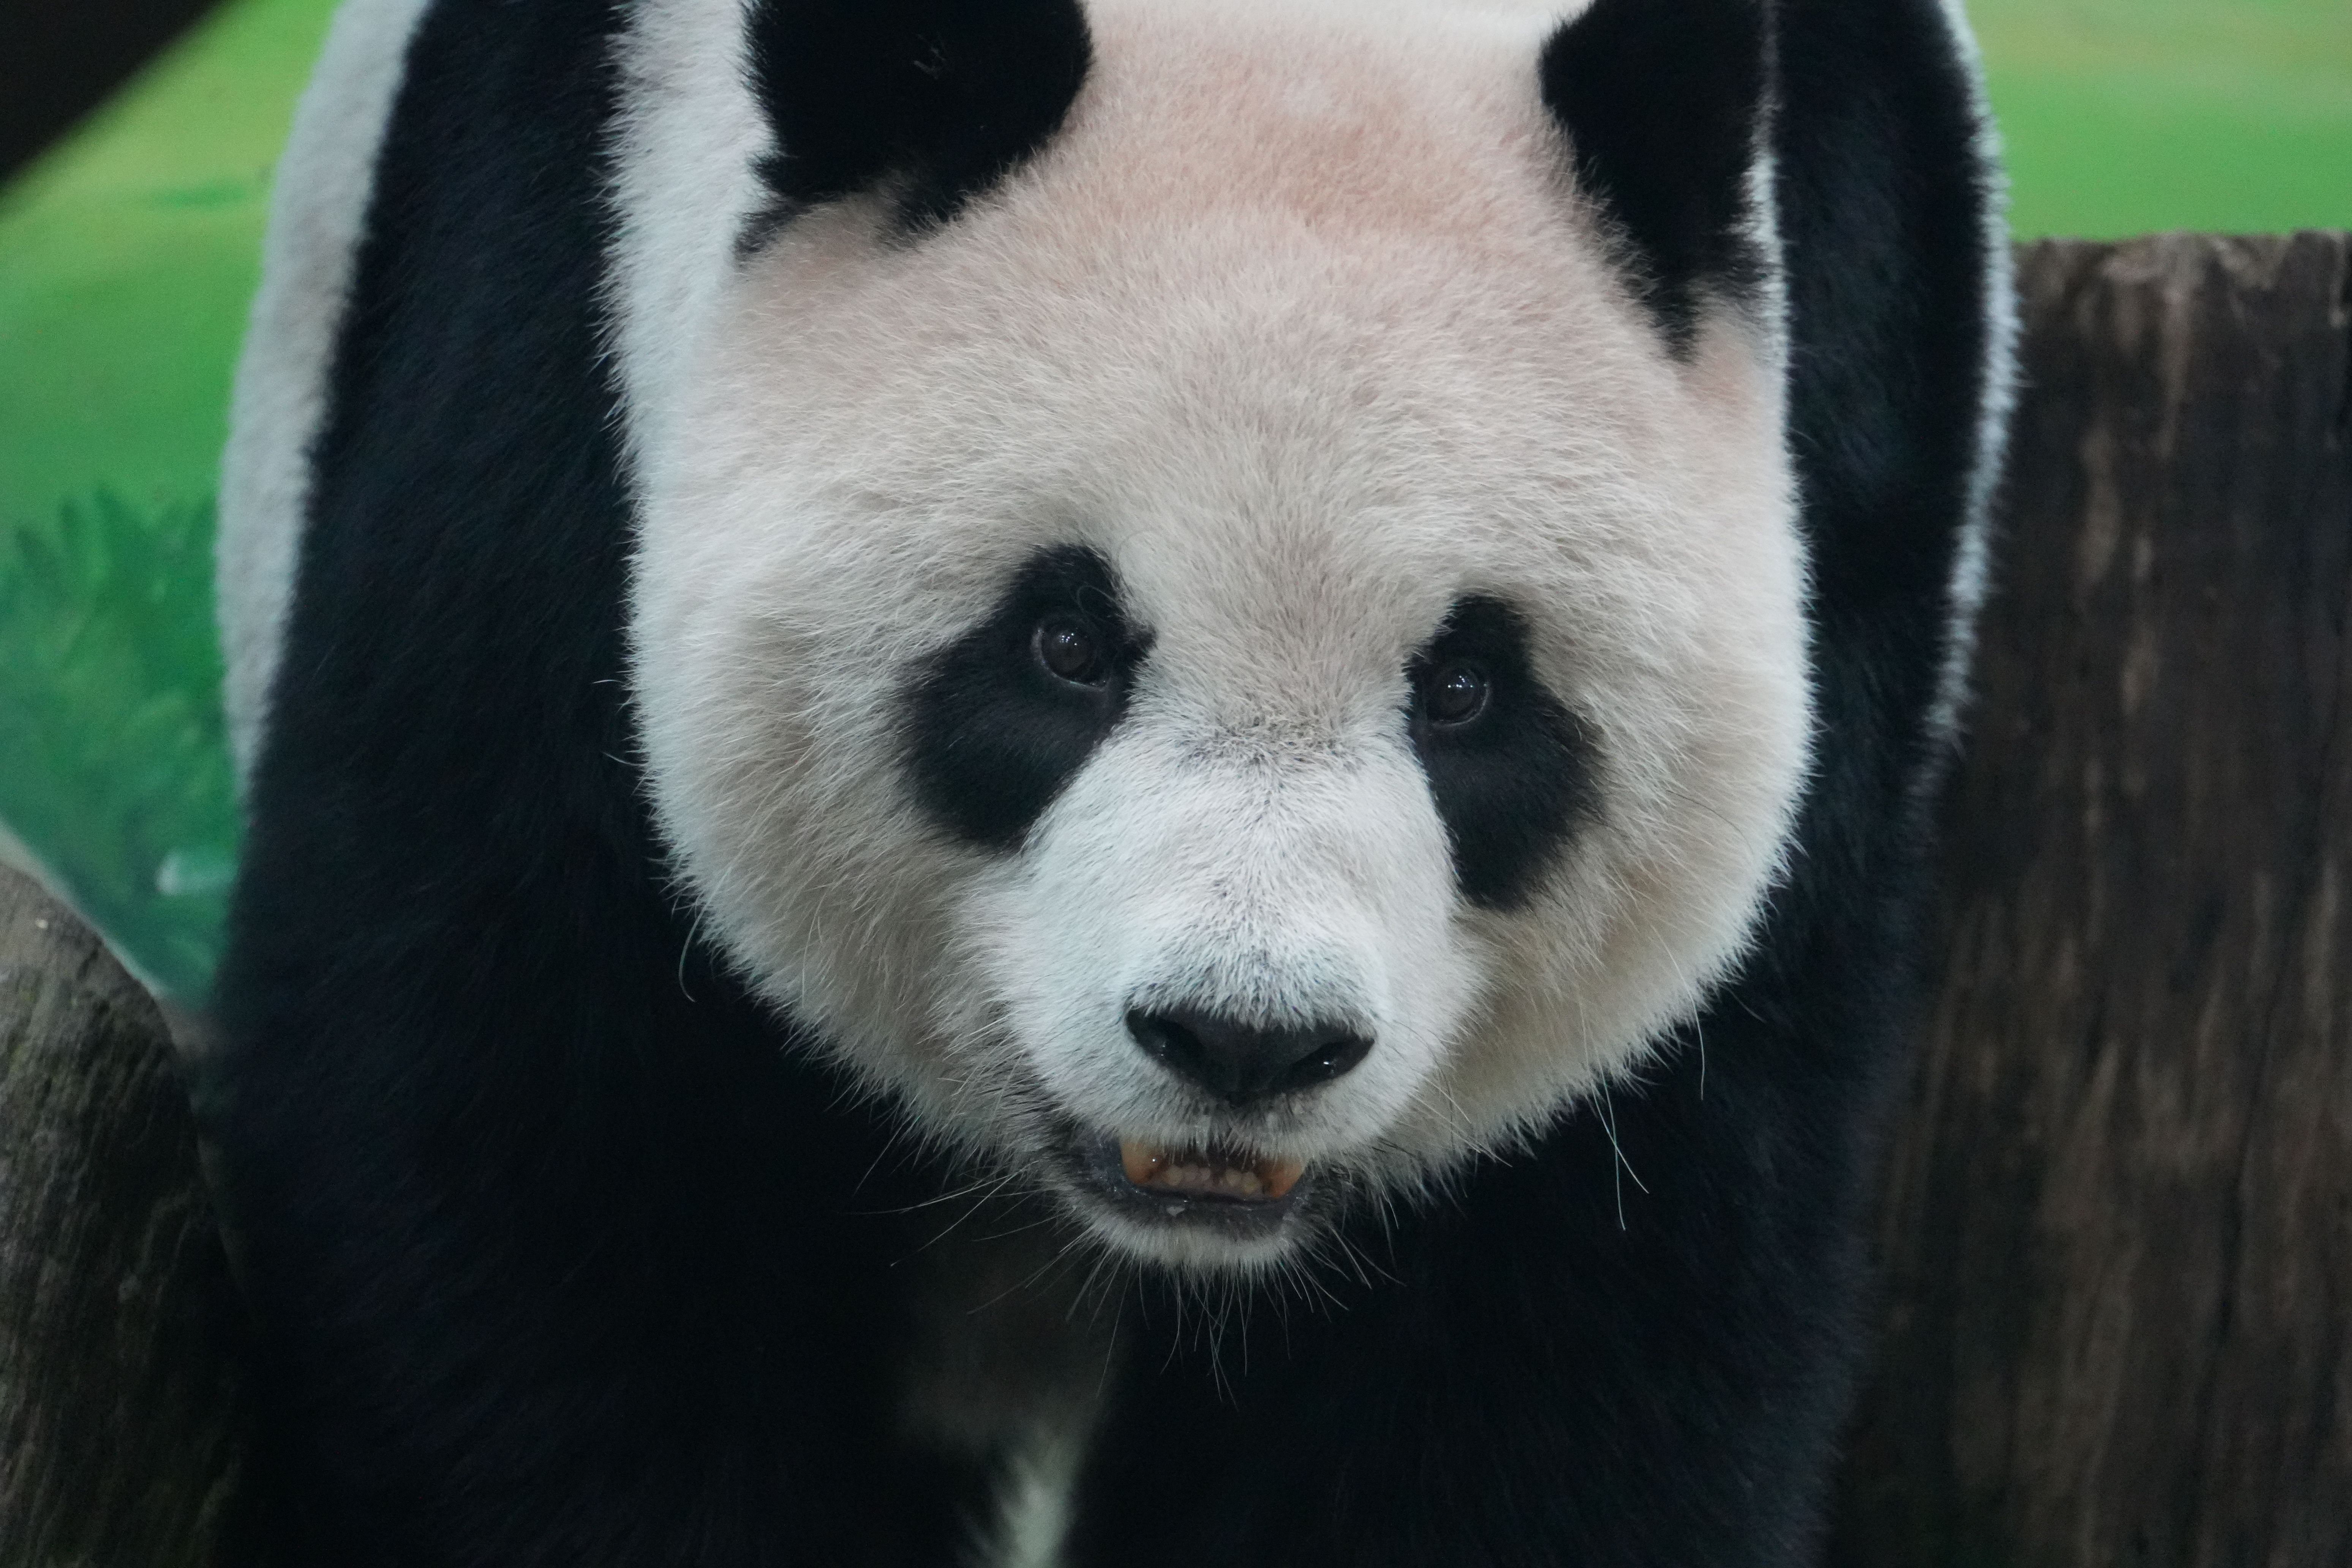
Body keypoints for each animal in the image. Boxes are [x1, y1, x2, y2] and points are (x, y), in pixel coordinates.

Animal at [205, 0, 2013, 1561]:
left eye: (1465, 689)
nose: (1243, 1040)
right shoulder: (549, 371)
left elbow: (1575, 1315)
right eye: (1065, 642)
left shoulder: (1849, 446)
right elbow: (540, 1177)